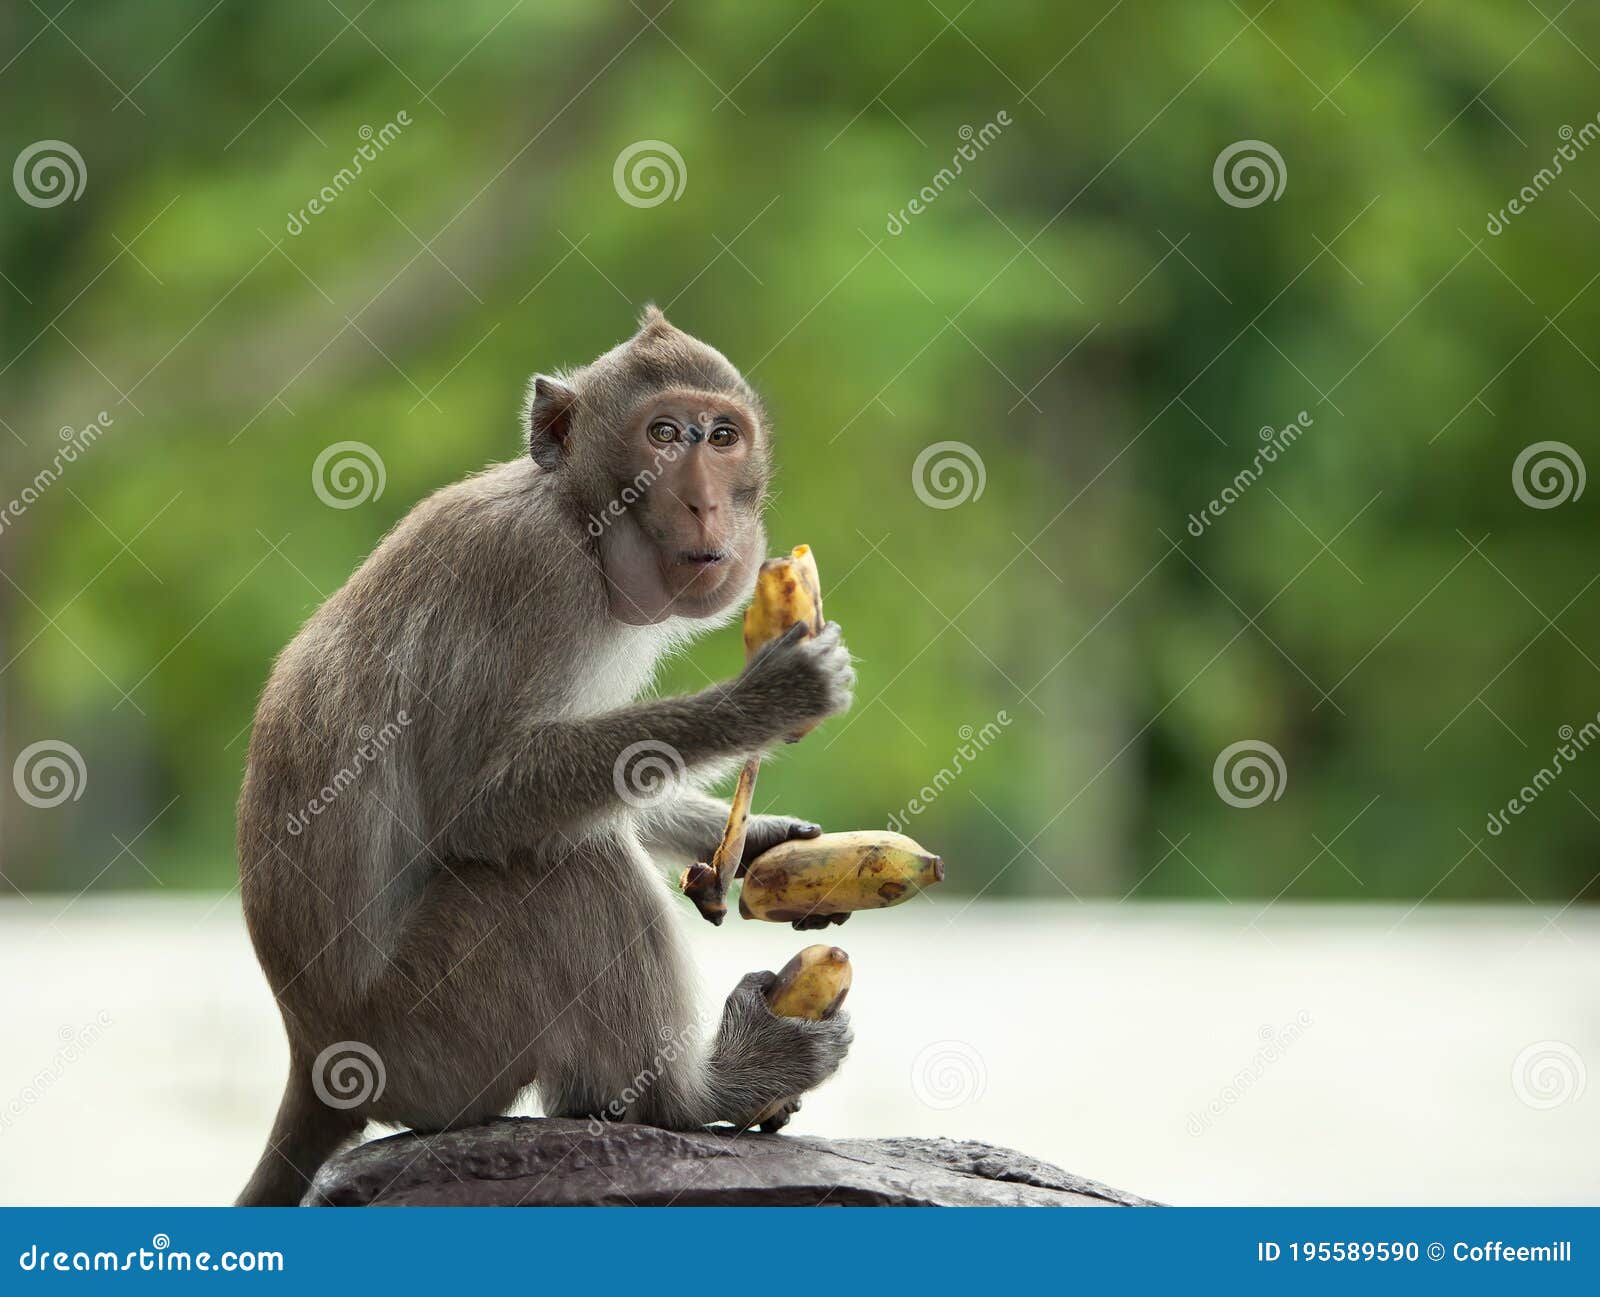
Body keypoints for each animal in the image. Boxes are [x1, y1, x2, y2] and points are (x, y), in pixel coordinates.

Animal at [234, 307, 856, 1206]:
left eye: (721, 436)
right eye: (663, 434)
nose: (706, 500)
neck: (579, 520)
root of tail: (313, 1053)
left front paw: (758, 841)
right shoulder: (534, 581)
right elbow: (482, 802)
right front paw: (766, 701)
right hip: (429, 1034)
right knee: (566, 868)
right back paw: (699, 1092)